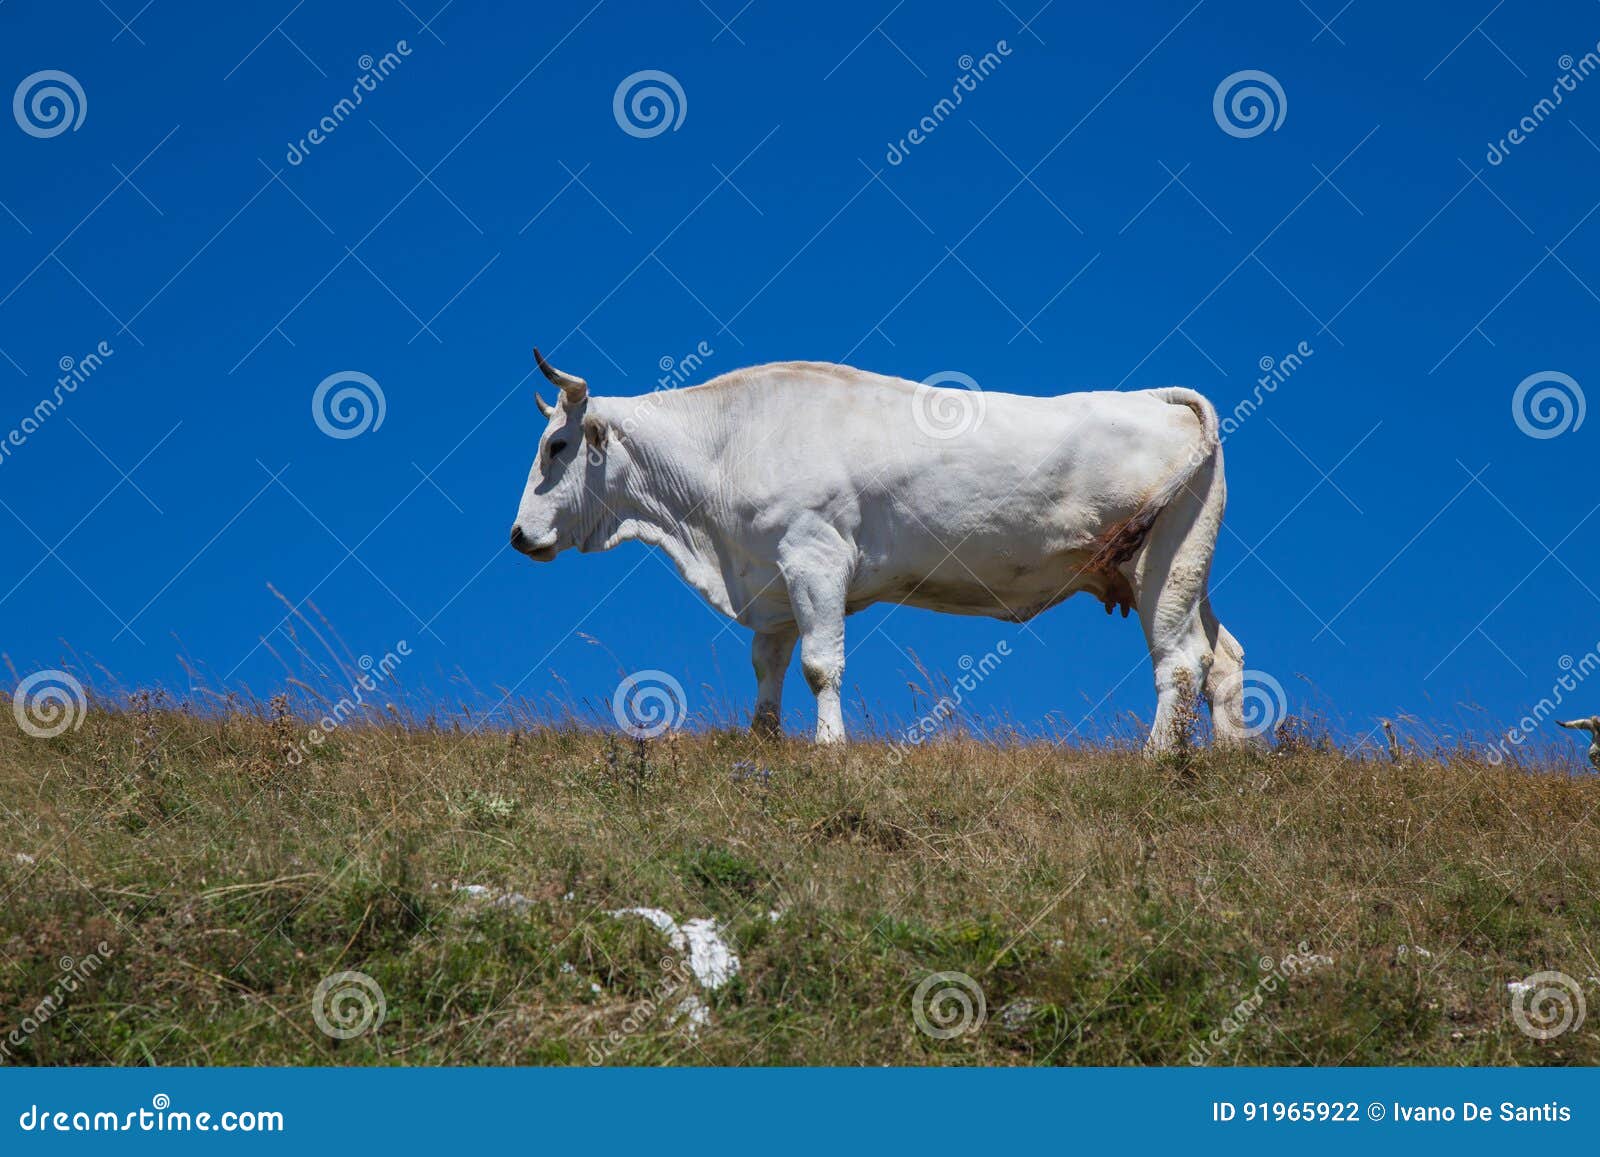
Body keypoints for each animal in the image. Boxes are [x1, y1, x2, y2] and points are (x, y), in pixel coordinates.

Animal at [510, 349, 1250, 752]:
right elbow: (767, 666)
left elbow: (820, 664)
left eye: (557, 445)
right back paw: (1232, 756)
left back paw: (1156, 759)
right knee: (1225, 658)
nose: (519, 535)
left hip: (1162, 564)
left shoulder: (814, 557)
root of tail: (1158, 397)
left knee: (1180, 661)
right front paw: (763, 739)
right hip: (1190, 568)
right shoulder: (773, 580)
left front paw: (829, 747)